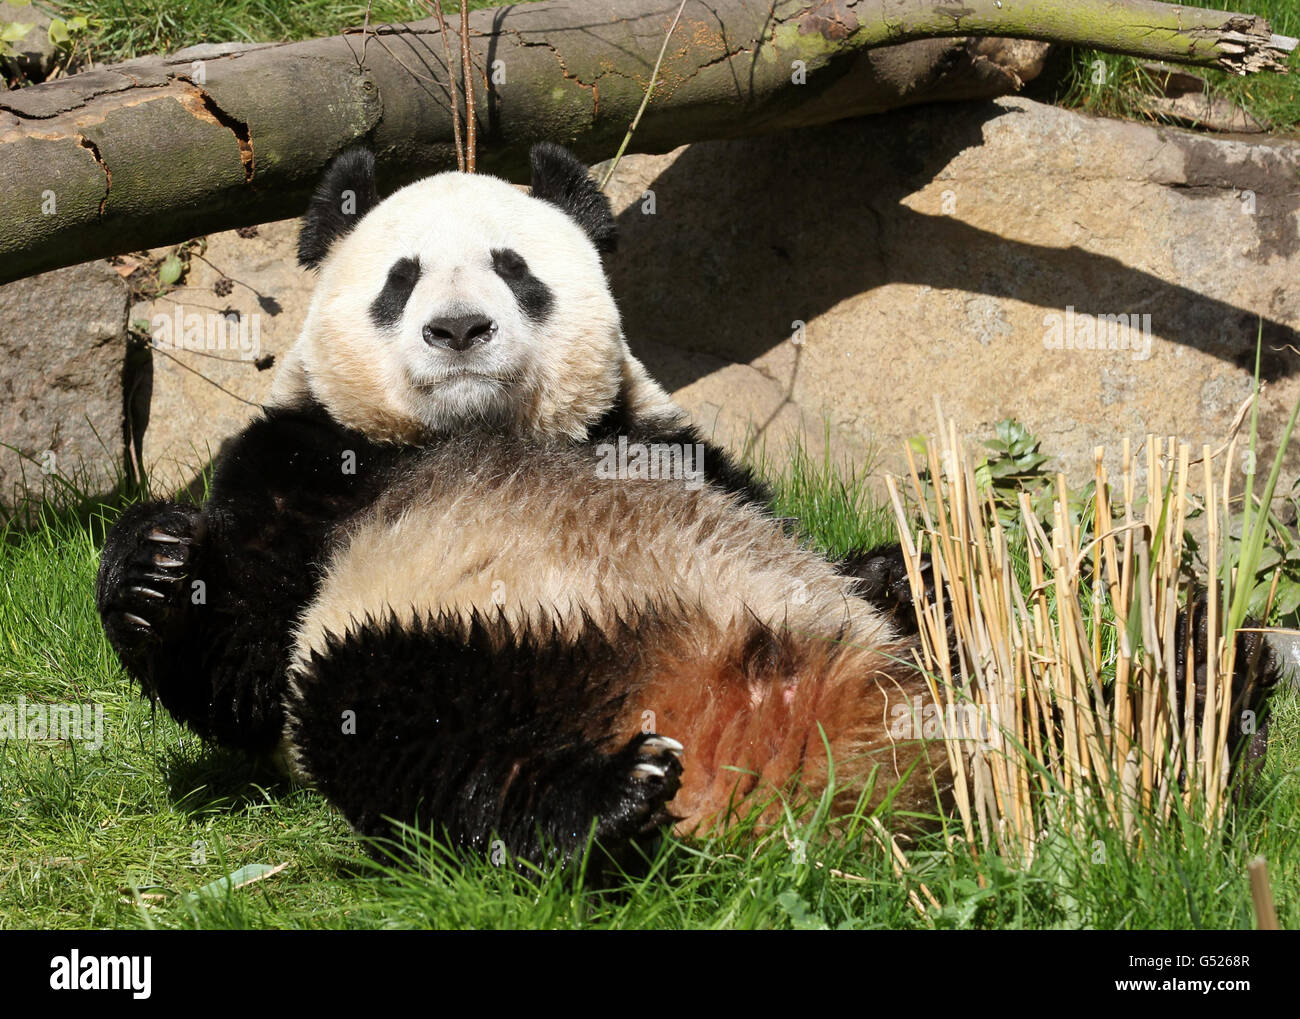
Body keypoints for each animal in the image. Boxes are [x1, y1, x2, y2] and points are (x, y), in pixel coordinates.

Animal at [95, 144, 1271, 867]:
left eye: (515, 269)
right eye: (401, 278)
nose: (460, 329)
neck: (473, 432)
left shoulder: (662, 440)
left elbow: (800, 525)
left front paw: (891, 561)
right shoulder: (306, 464)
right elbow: (245, 662)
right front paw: (154, 568)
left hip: (920, 665)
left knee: (1009, 664)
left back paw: (1201, 683)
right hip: (428, 633)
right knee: (396, 723)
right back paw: (596, 806)